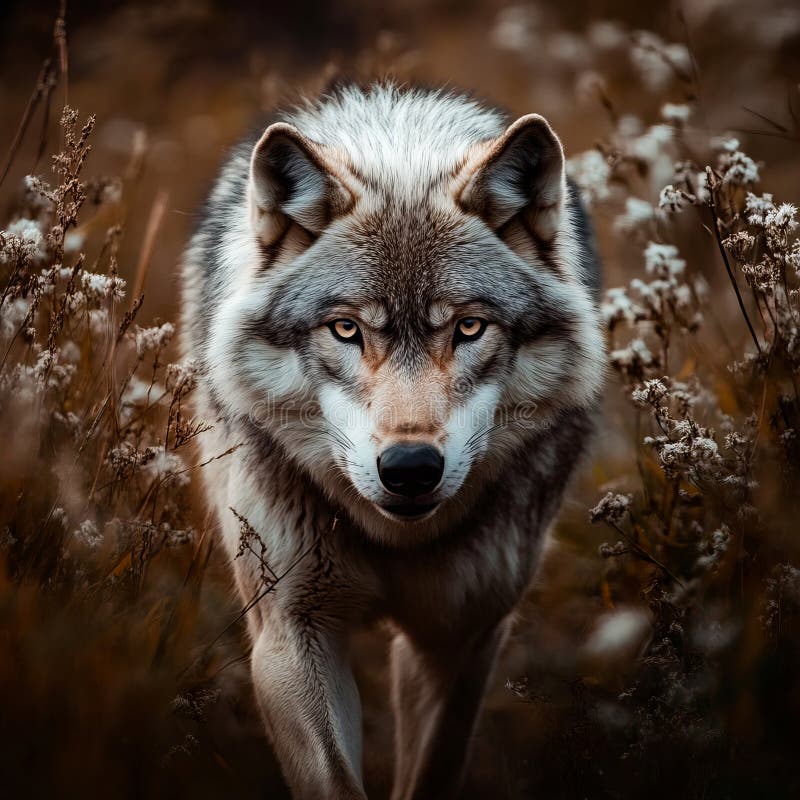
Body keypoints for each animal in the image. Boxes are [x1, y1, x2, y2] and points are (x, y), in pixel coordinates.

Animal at [181, 82, 605, 799]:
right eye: (347, 329)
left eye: (468, 327)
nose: (410, 467)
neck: (396, 540)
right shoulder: (292, 632)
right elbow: (334, 781)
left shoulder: (460, 636)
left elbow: (431, 769)